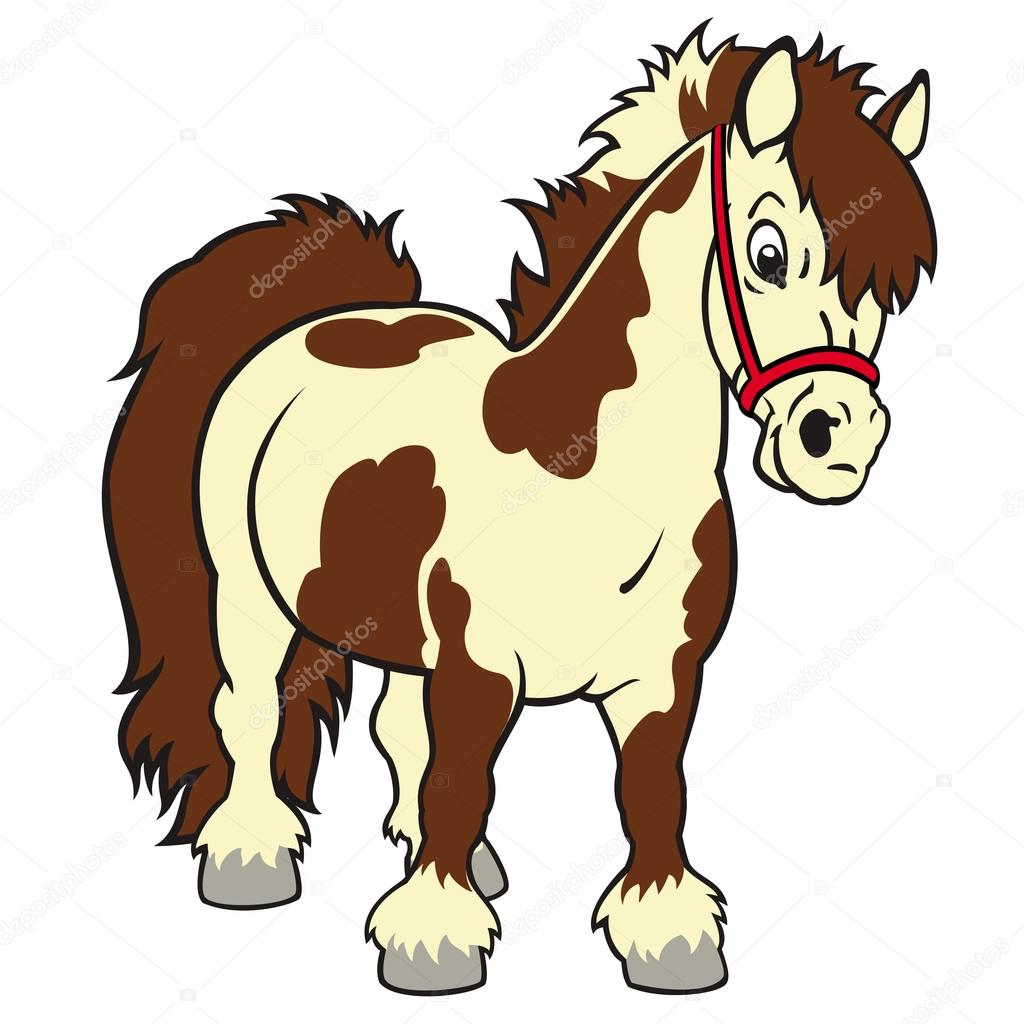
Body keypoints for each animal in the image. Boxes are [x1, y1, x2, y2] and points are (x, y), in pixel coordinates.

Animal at [103, 26, 936, 995]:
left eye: (891, 292)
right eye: (767, 254)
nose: (836, 439)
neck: (584, 473)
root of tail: (323, 319)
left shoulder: (663, 676)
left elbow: (649, 793)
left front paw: (668, 940)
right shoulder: (478, 665)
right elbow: (462, 781)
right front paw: (433, 944)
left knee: (397, 730)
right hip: (248, 597)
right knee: (249, 710)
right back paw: (251, 861)